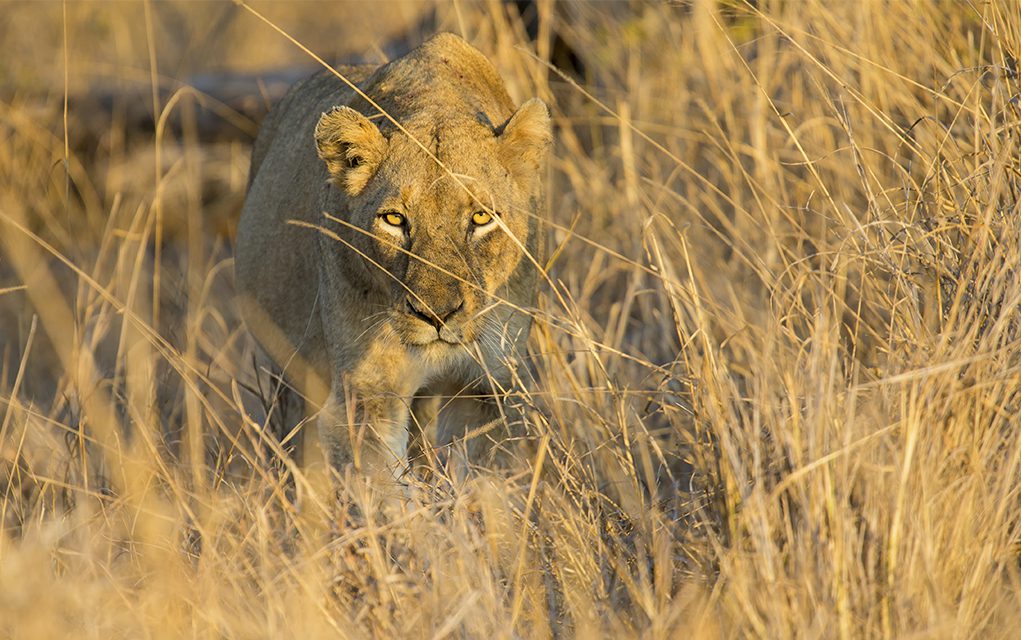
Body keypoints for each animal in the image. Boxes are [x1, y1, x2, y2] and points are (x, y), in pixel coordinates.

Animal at [235, 33, 551, 481]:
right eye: (395, 219)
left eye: (480, 218)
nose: (436, 315)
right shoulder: (367, 393)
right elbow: (384, 485)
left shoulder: (486, 386)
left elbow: (475, 474)